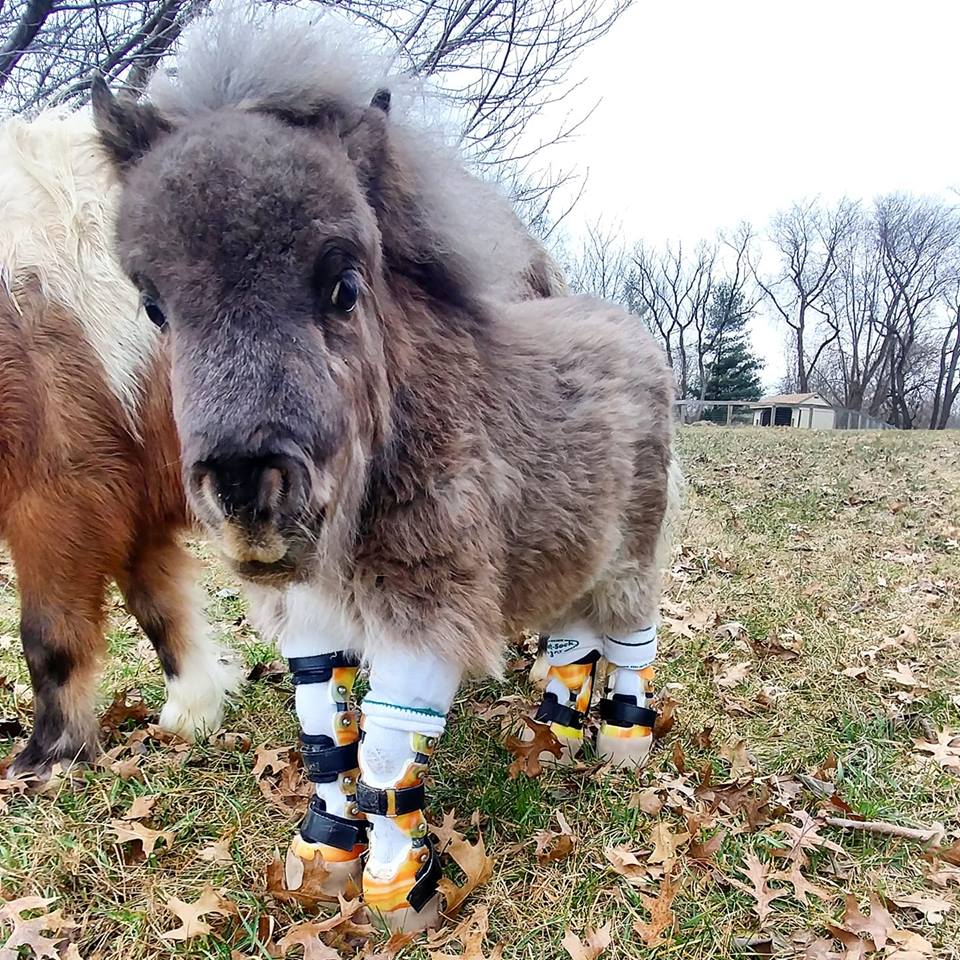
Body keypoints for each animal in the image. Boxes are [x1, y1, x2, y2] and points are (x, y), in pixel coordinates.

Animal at [0, 110, 243, 775]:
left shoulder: (58, 500)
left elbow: (48, 636)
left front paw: (48, 758)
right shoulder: (127, 508)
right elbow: (161, 610)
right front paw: (193, 714)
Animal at [92, 8, 679, 932]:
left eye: (343, 285)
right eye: (156, 306)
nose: (250, 497)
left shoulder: (424, 609)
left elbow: (387, 750)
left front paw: (402, 891)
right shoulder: (310, 616)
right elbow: (324, 739)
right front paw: (323, 855)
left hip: (630, 554)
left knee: (625, 640)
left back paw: (622, 741)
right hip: (566, 544)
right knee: (571, 637)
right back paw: (547, 734)